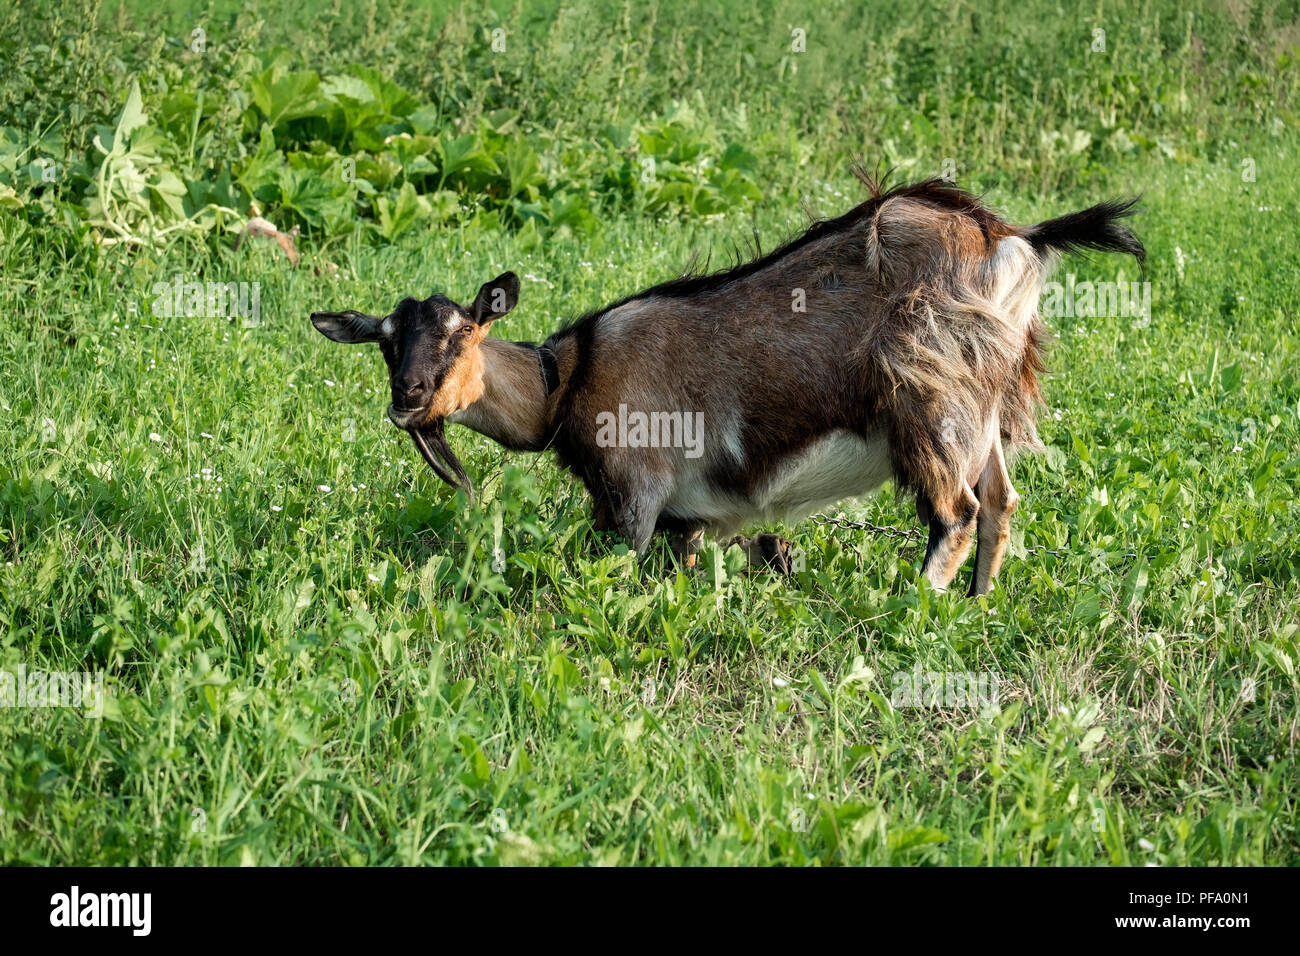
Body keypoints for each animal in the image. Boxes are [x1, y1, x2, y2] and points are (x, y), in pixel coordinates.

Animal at [311, 173, 1143, 595]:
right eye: (386, 344)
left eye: (461, 333)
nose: (409, 398)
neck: (566, 378)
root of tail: (1012, 238)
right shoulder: (691, 520)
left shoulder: (634, 492)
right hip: (984, 401)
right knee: (1001, 499)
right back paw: (980, 605)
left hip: (929, 392)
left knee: (958, 510)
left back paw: (919, 605)